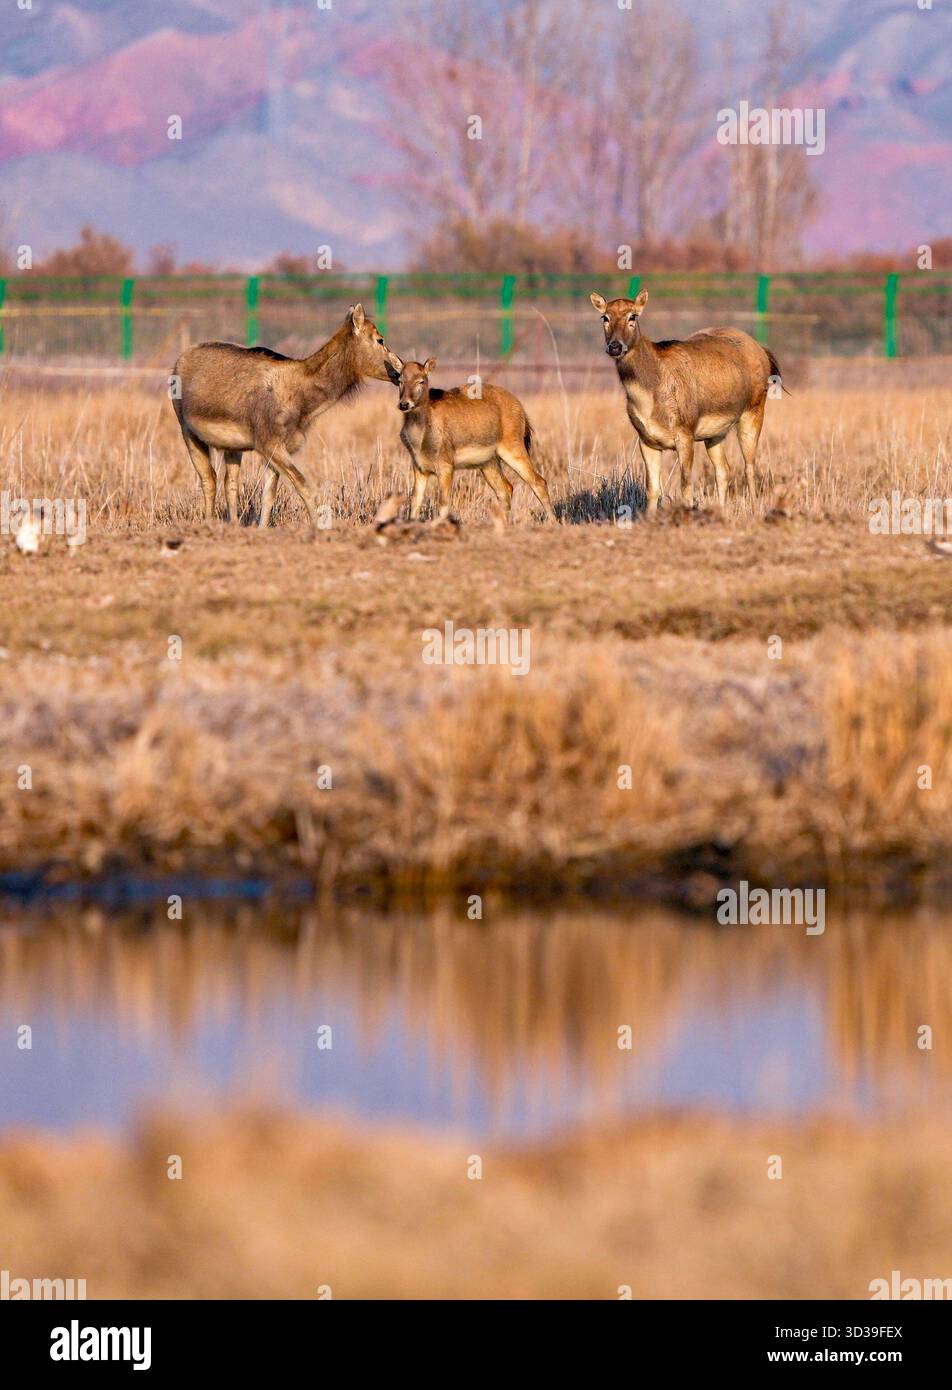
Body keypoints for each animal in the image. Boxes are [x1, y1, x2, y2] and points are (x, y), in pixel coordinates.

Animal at [171, 305, 393, 529]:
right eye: (380, 339)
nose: (398, 370)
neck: (306, 401)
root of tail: (179, 360)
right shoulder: (268, 443)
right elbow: (304, 485)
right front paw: (319, 526)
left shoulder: (280, 448)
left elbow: (268, 495)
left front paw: (262, 528)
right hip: (188, 431)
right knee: (209, 478)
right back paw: (209, 523)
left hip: (232, 447)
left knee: (229, 481)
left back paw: (233, 524)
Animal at [385, 352, 558, 524]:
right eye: (400, 380)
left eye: (421, 380)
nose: (404, 404)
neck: (420, 440)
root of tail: (522, 411)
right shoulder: (419, 466)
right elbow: (415, 501)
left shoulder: (446, 464)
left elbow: (443, 504)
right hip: (488, 462)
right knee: (506, 489)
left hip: (513, 446)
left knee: (538, 482)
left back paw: (553, 522)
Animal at [590, 287, 784, 511]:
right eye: (605, 317)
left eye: (633, 316)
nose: (615, 347)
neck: (649, 399)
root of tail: (763, 351)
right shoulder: (645, 439)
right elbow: (652, 488)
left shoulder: (685, 432)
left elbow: (685, 485)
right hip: (715, 433)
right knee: (724, 470)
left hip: (754, 409)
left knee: (750, 467)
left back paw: (753, 509)